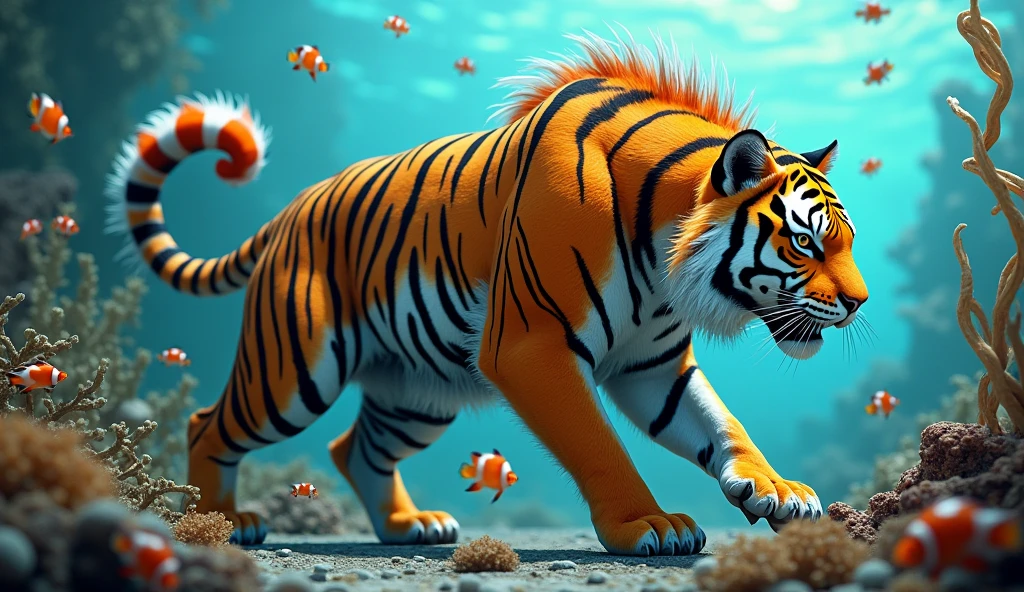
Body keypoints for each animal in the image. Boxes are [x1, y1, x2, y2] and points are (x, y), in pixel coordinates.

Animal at [105, 28, 868, 554]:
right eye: (806, 242)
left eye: (848, 238)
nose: (861, 303)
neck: (663, 254)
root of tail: (288, 212)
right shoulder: (531, 348)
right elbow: (599, 445)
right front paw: (647, 524)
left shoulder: (653, 369)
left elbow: (721, 424)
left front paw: (775, 491)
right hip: (294, 371)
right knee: (207, 423)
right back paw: (221, 522)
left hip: (416, 390)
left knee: (353, 448)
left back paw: (409, 525)